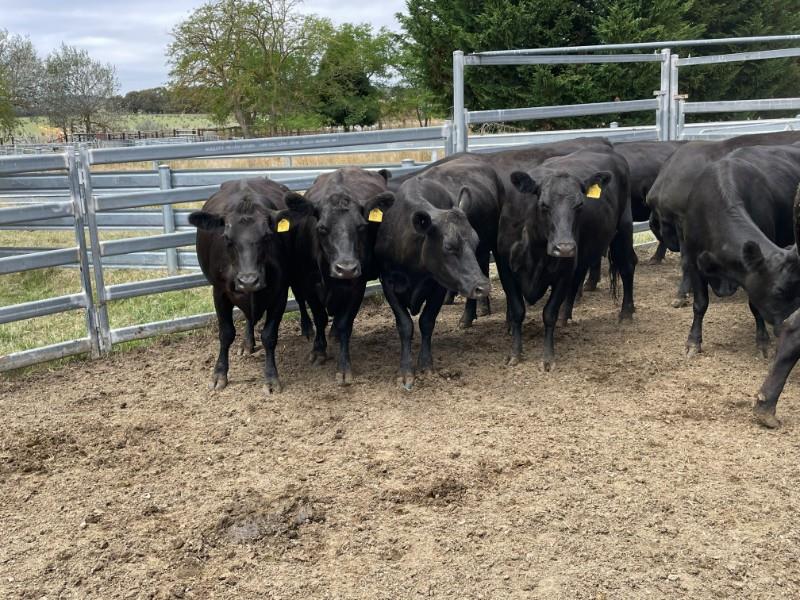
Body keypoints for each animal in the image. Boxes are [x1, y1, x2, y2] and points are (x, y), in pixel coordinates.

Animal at [189, 178, 313, 394]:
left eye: (267, 236)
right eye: (227, 238)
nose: (249, 280)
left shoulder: (279, 292)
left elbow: (269, 336)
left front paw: (271, 378)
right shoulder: (219, 292)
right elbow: (226, 333)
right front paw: (219, 374)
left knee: (299, 296)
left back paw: (307, 329)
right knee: (249, 316)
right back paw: (247, 343)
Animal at [290, 167, 395, 385]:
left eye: (361, 227)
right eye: (321, 228)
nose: (346, 268)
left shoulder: (357, 285)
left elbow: (346, 322)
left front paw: (344, 367)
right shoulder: (308, 283)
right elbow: (320, 317)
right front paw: (318, 351)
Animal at [375, 176, 490, 389]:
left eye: (476, 242)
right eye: (449, 246)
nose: (483, 287)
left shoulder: (438, 286)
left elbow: (427, 322)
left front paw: (426, 366)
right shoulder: (388, 282)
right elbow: (405, 325)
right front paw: (406, 371)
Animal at [498, 147, 636, 370]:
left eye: (580, 204)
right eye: (543, 204)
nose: (564, 248)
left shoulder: (563, 271)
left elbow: (549, 313)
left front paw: (548, 358)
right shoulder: (506, 269)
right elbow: (518, 311)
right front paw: (515, 354)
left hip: (623, 228)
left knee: (627, 266)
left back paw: (626, 313)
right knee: (580, 275)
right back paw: (566, 316)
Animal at [681, 145, 800, 362]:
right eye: (779, 291)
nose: (793, 329)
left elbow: (755, 305)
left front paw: (762, 342)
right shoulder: (694, 262)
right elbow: (700, 304)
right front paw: (693, 342)